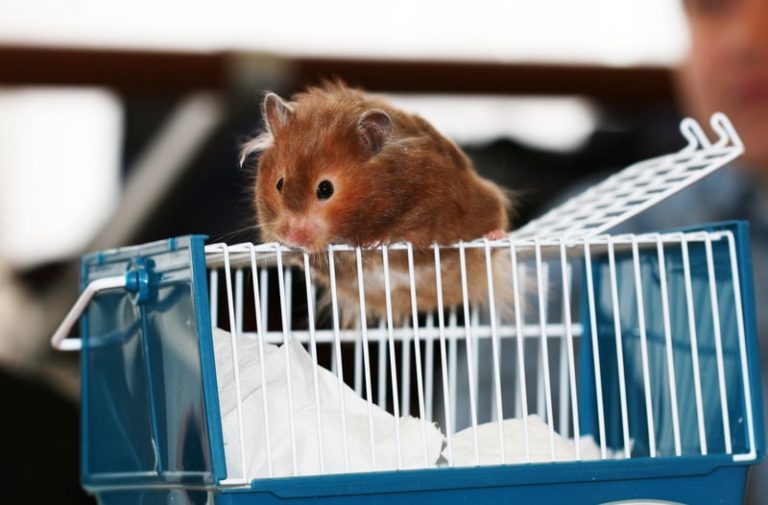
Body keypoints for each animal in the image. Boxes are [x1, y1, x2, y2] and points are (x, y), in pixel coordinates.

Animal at [243, 81, 512, 325]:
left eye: (325, 189)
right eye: (279, 184)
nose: (293, 239)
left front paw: (375, 242)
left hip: (486, 203)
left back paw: (495, 235)